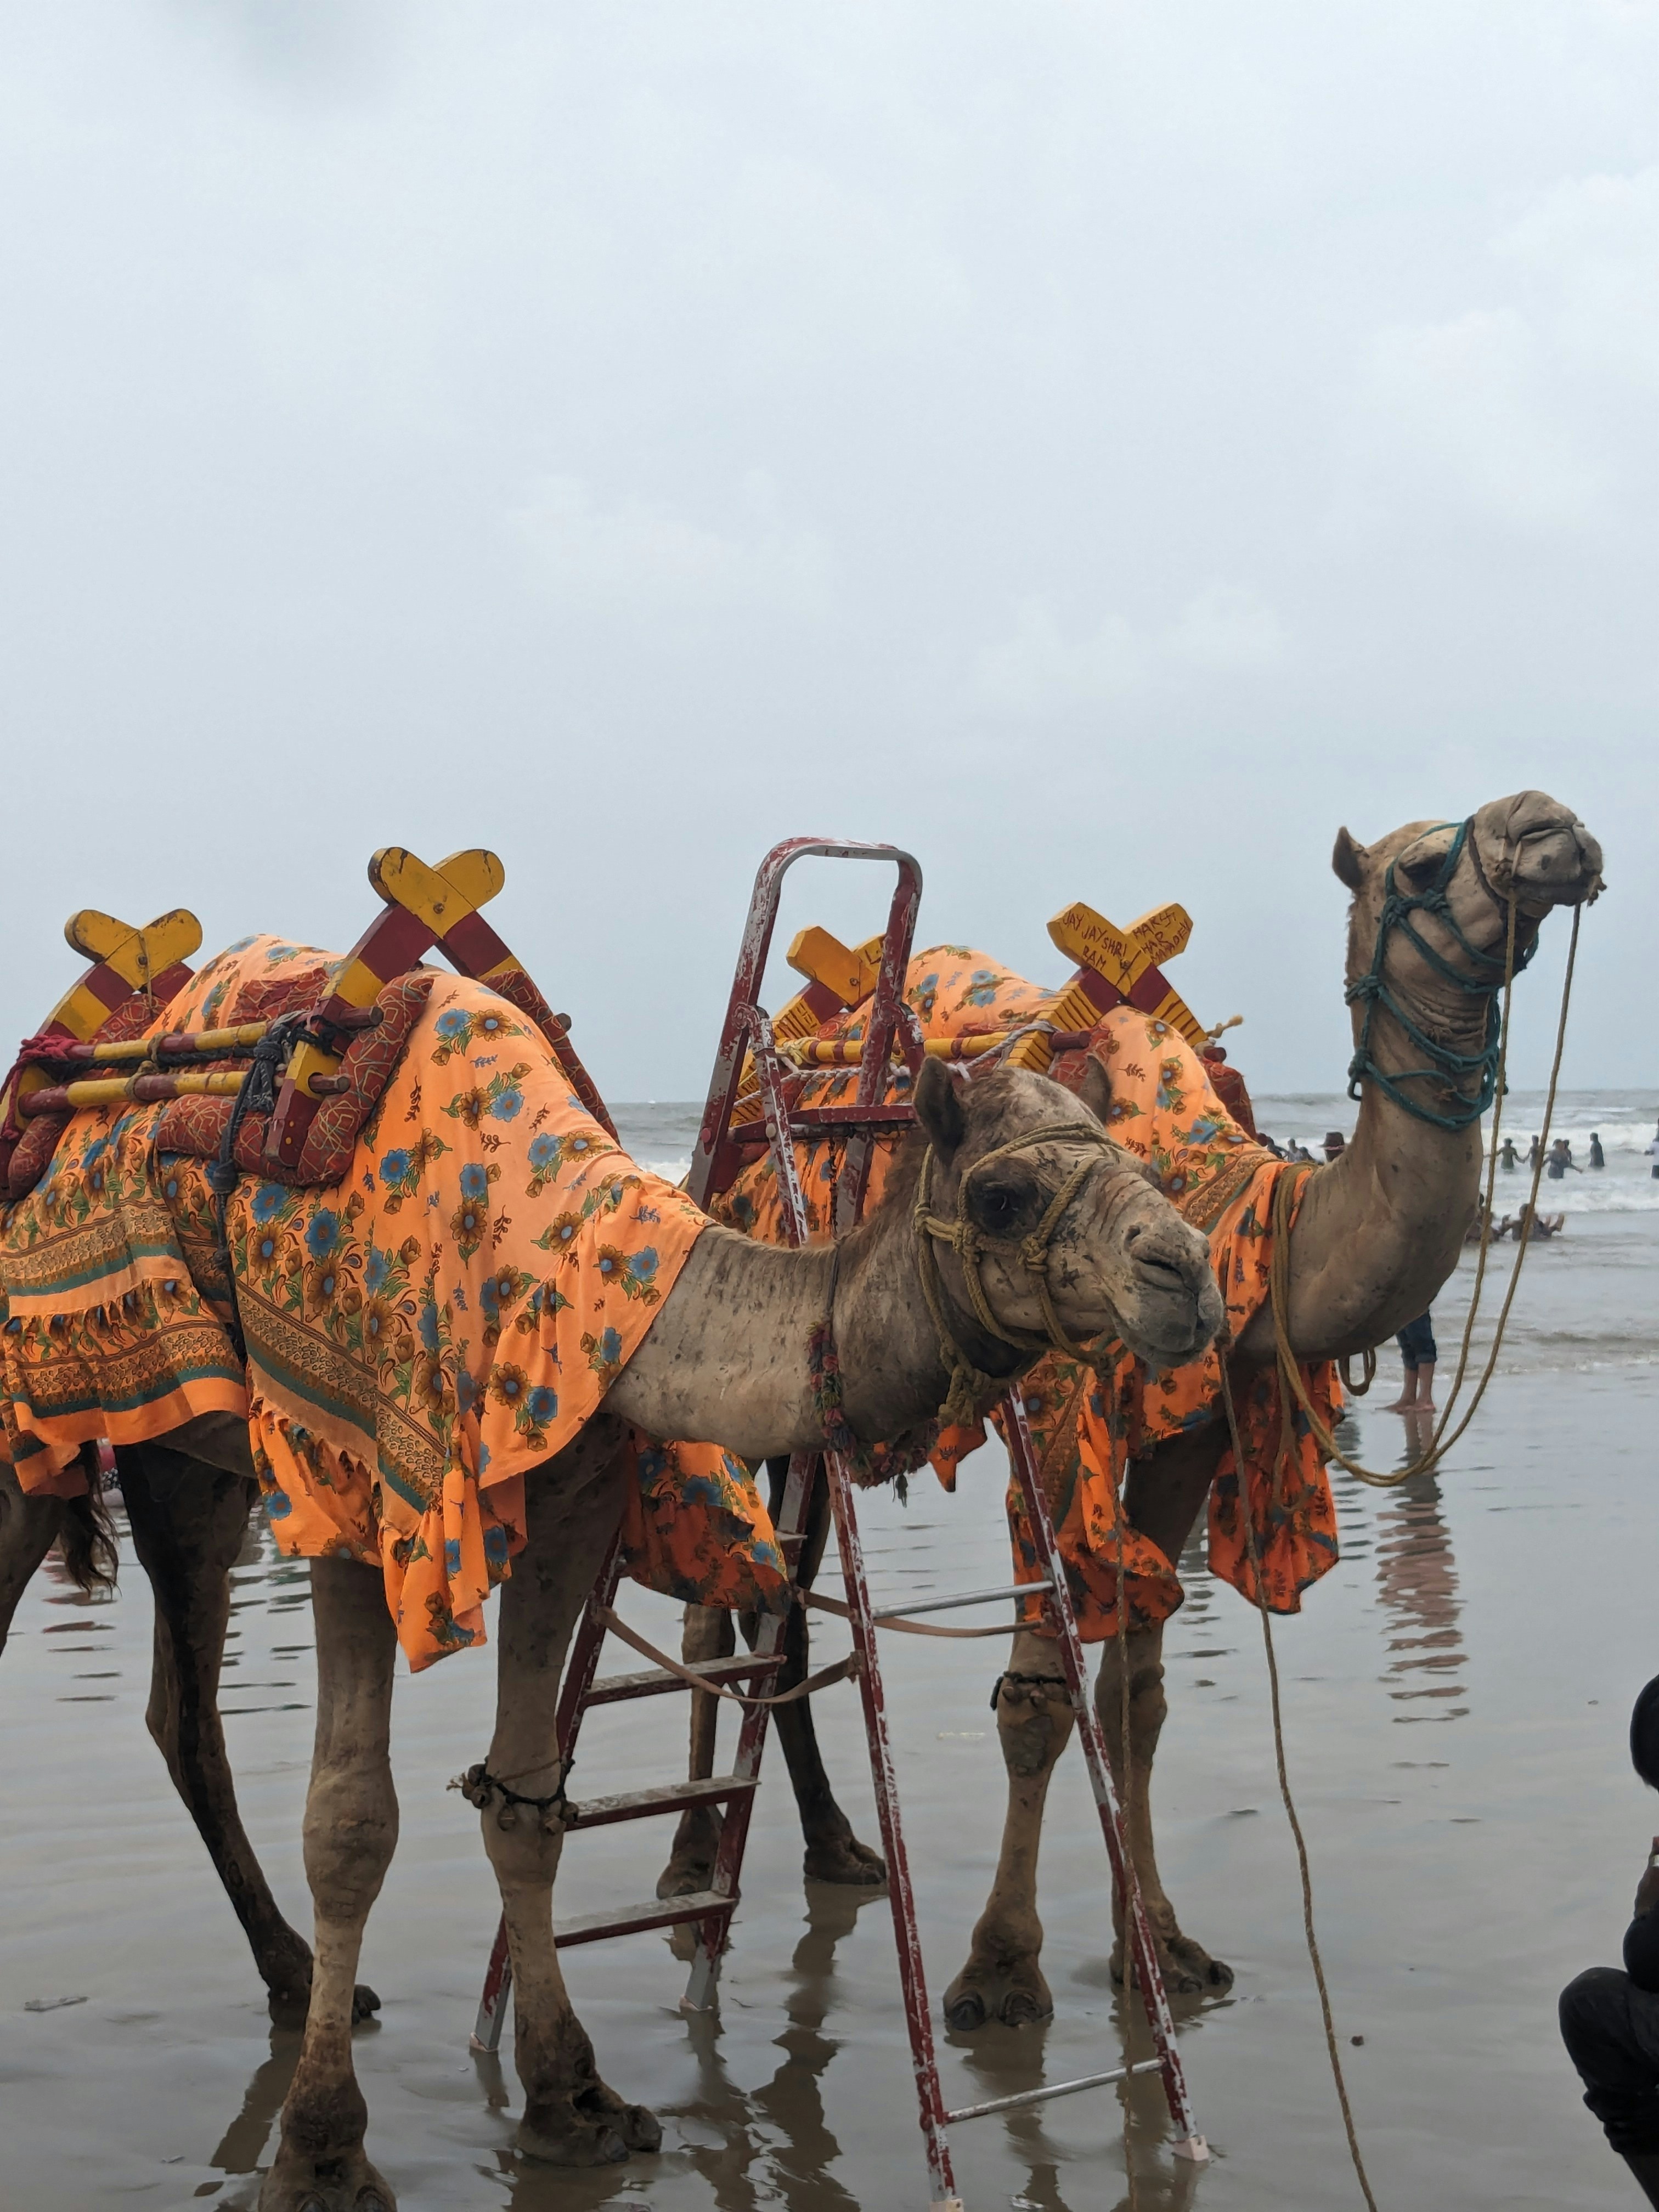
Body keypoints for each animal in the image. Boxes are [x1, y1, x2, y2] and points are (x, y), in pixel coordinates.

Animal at [0, 941, 1224, 2205]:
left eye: (1135, 1158)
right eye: (1002, 1195)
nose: (1186, 1272)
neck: (566, 1253)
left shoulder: (575, 1489)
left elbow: (529, 1799)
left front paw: (570, 2097)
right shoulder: (353, 1485)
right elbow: (351, 1824)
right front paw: (323, 2153)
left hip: (186, 1460)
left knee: (180, 1712)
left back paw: (291, 1979)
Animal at [658, 789, 1604, 2032]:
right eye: (1413, 868)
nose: (1555, 830)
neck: (1252, 1225)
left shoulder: (1183, 1434)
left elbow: (1135, 1699)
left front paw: (1156, 1944)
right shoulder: (1060, 1418)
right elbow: (1037, 1699)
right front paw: (999, 1972)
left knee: (789, 1607)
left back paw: (831, 1847)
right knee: (731, 1607)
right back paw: (694, 1868)